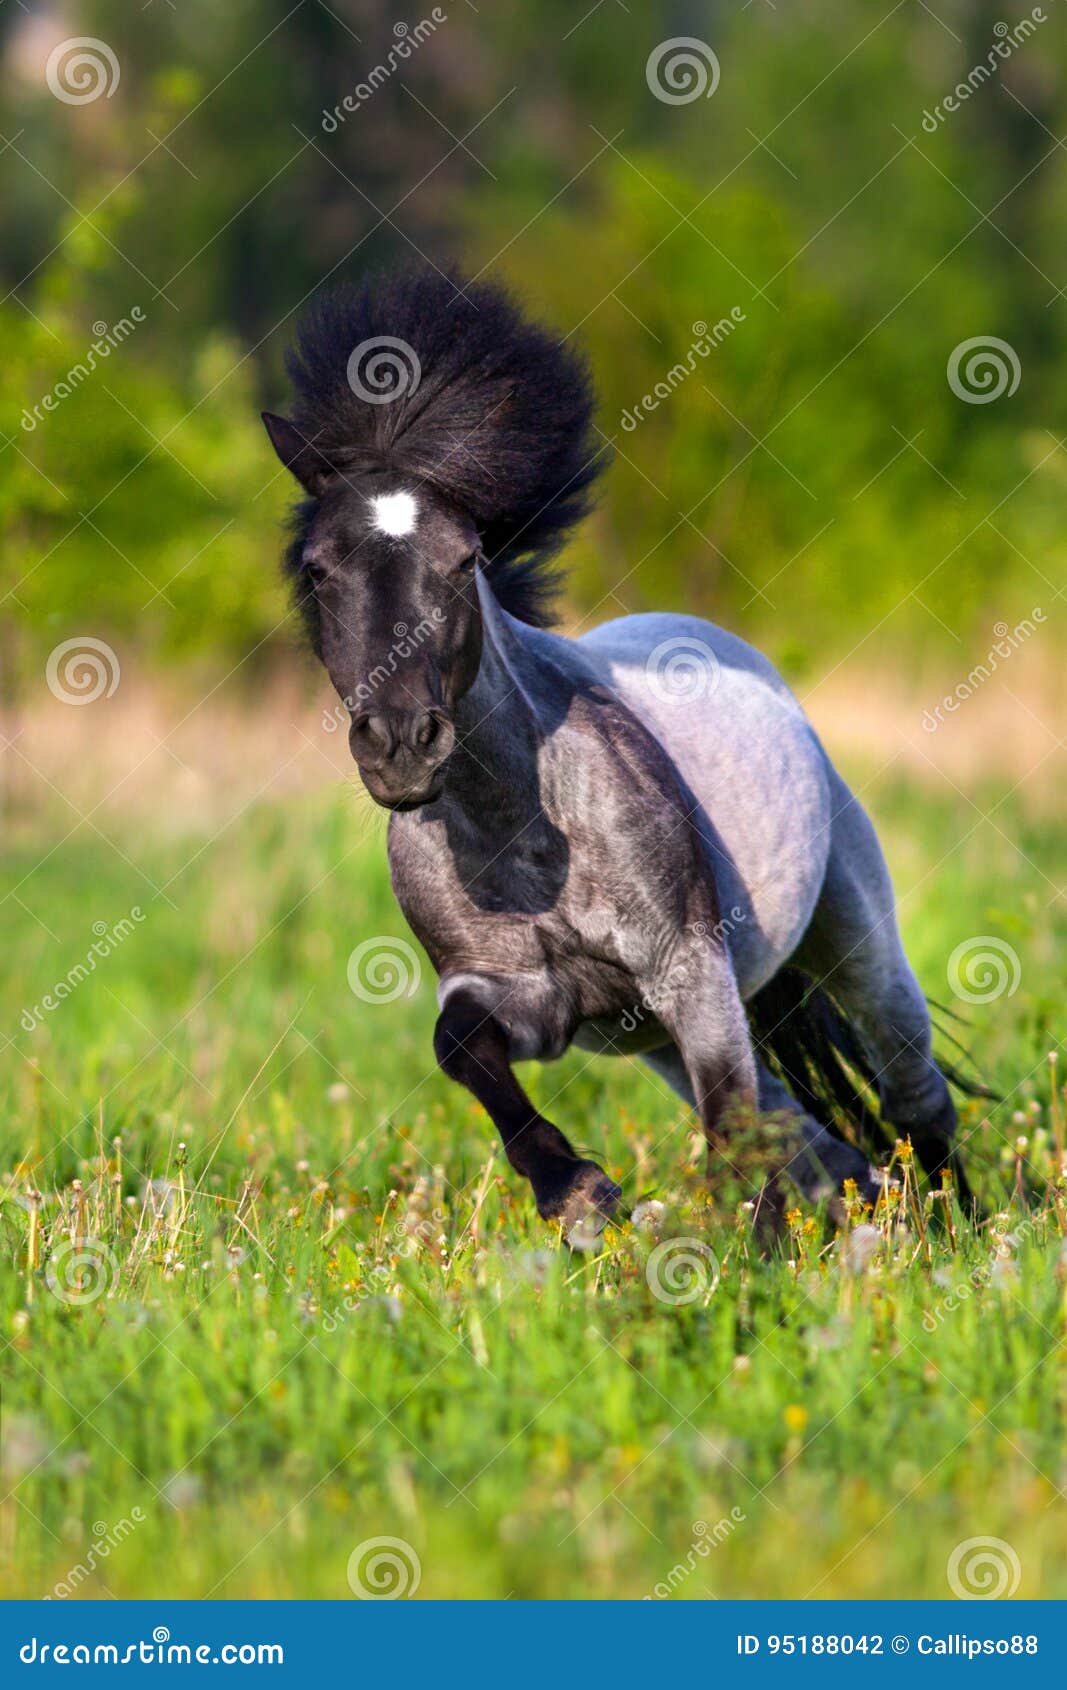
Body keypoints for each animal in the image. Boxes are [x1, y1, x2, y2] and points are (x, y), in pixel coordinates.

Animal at [262, 265, 974, 1238]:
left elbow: (731, 1126)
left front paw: (718, 1258)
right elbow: (462, 1049)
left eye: (463, 559)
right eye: (318, 568)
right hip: (662, 1040)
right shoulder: (524, 995)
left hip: (853, 944)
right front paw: (579, 1195)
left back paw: (964, 1230)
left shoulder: (688, 975)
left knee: (910, 1097)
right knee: (813, 1138)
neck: (523, 830)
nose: (401, 746)